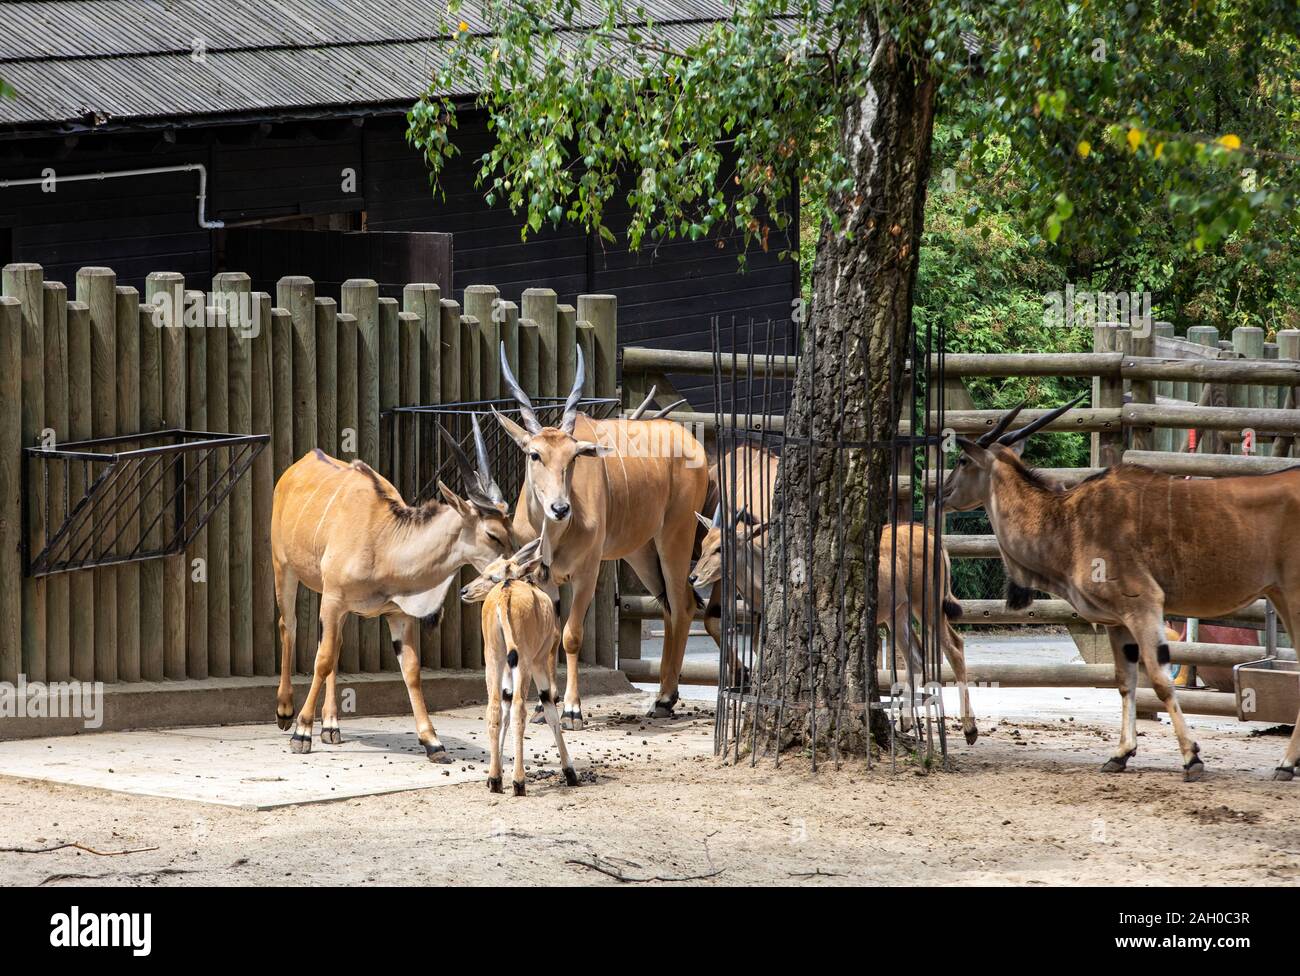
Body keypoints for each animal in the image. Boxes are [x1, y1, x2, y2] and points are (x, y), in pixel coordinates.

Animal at [270, 415, 514, 760]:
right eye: (493, 535)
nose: (522, 569)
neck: (384, 542)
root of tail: (299, 465)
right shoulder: (333, 599)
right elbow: (322, 659)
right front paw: (301, 732)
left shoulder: (396, 614)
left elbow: (410, 669)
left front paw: (433, 742)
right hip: (285, 568)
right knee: (288, 625)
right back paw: (285, 711)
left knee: (333, 643)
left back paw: (331, 726)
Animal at [461, 537, 577, 795]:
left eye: (492, 576)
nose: (464, 591)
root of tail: (506, 594)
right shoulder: (538, 663)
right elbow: (550, 708)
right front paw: (570, 772)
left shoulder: (506, 668)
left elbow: (503, 710)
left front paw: (494, 776)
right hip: (524, 662)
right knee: (519, 709)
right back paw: (519, 781)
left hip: (494, 659)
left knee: (495, 708)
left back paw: (495, 779)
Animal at [495, 343, 709, 725]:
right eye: (534, 454)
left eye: (574, 457)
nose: (560, 508)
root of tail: (688, 439)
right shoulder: (541, 577)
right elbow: (550, 637)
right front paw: (543, 704)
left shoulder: (587, 572)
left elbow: (571, 635)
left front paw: (571, 709)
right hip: (641, 552)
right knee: (669, 605)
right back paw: (664, 697)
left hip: (675, 537)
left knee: (683, 604)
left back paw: (664, 699)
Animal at [942, 395, 1300, 782]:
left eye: (962, 461)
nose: (939, 493)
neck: (1066, 522)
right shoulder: (1117, 621)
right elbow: (1125, 682)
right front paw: (1121, 753)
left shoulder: (1144, 604)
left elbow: (1159, 680)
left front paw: (1192, 758)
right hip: (1280, 595)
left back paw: (1285, 762)